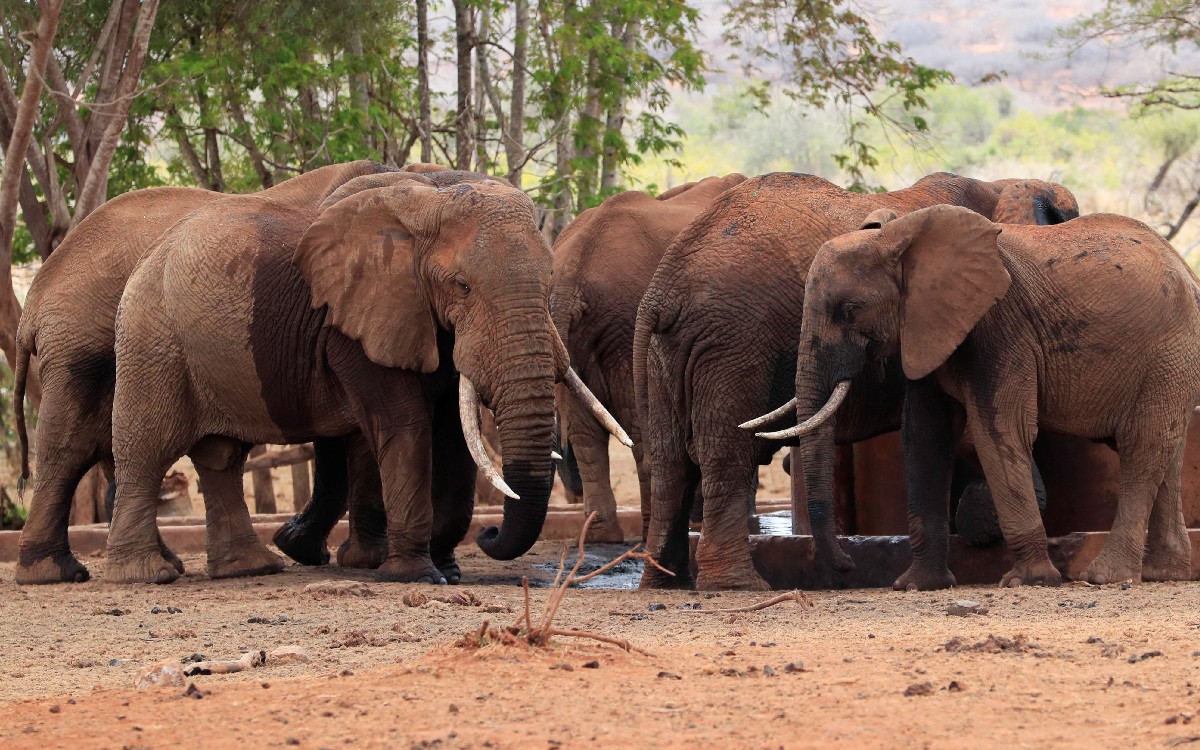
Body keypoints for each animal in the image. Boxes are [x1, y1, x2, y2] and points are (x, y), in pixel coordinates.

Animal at [104, 173, 626, 584]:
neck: (430, 200)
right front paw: (417, 576)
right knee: (147, 449)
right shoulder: (351, 324)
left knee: (220, 457)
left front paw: (443, 570)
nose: (490, 531)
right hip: (152, 338)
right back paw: (148, 575)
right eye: (462, 286)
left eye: (547, 283)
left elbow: (453, 434)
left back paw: (250, 568)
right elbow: (405, 424)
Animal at [550, 173, 747, 543]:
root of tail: (571, 270)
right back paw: (649, 531)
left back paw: (602, 536)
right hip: (624, 321)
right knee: (643, 423)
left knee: (585, 429)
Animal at [633, 172, 1081, 590]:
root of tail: (661, 287)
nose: (847, 565)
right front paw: (982, 522)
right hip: (736, 341)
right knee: (724, 453)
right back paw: (736, 585)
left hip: (672, 350)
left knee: (671, 460)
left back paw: (666, 581)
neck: (1007, 187)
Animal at [789, 204, 1199, 588]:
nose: (847, 564)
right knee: (1168, 452)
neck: (898, 237)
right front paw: (918, 585)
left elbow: (1001, 430)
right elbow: (925, 437)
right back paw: (1165, 574)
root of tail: (1185, 269)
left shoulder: (999, 326)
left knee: (1142, 448)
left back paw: (1104, 577)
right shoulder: (928, 327)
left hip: (1168, 352)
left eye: (849, 311)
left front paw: (1028, 580)